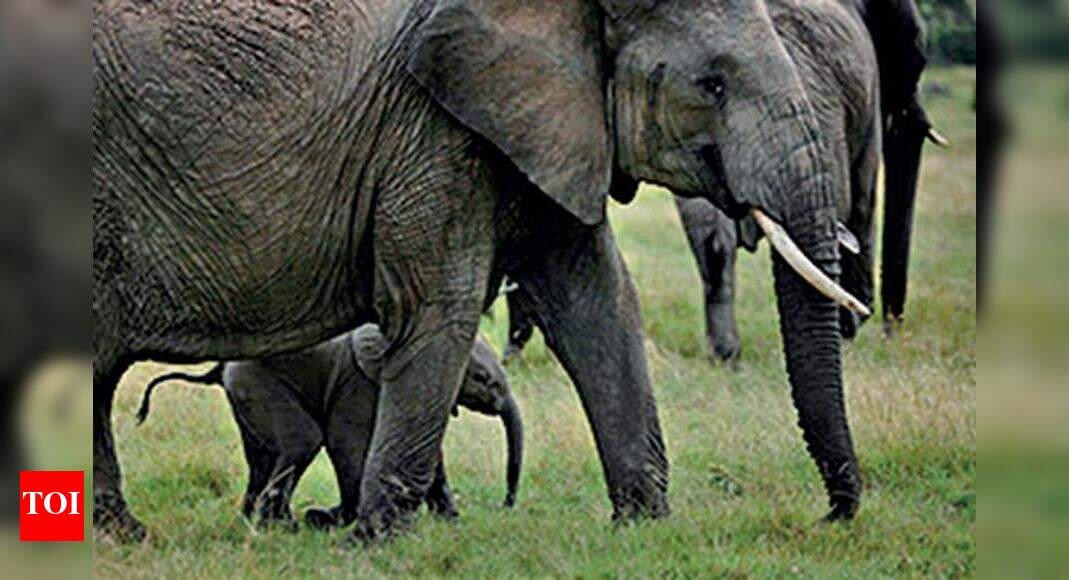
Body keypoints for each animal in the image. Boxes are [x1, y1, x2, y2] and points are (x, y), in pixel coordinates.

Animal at [136, 326, 522, 530]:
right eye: (482, 378)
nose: (505, 505)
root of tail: (219, 367)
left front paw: (452, 524)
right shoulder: (359, 382)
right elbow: (348, 444)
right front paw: (340, 518)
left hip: (246, 392)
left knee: (261, 458)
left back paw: (256, 522)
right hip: (259, 383)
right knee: (302, 442)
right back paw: (289, 525)